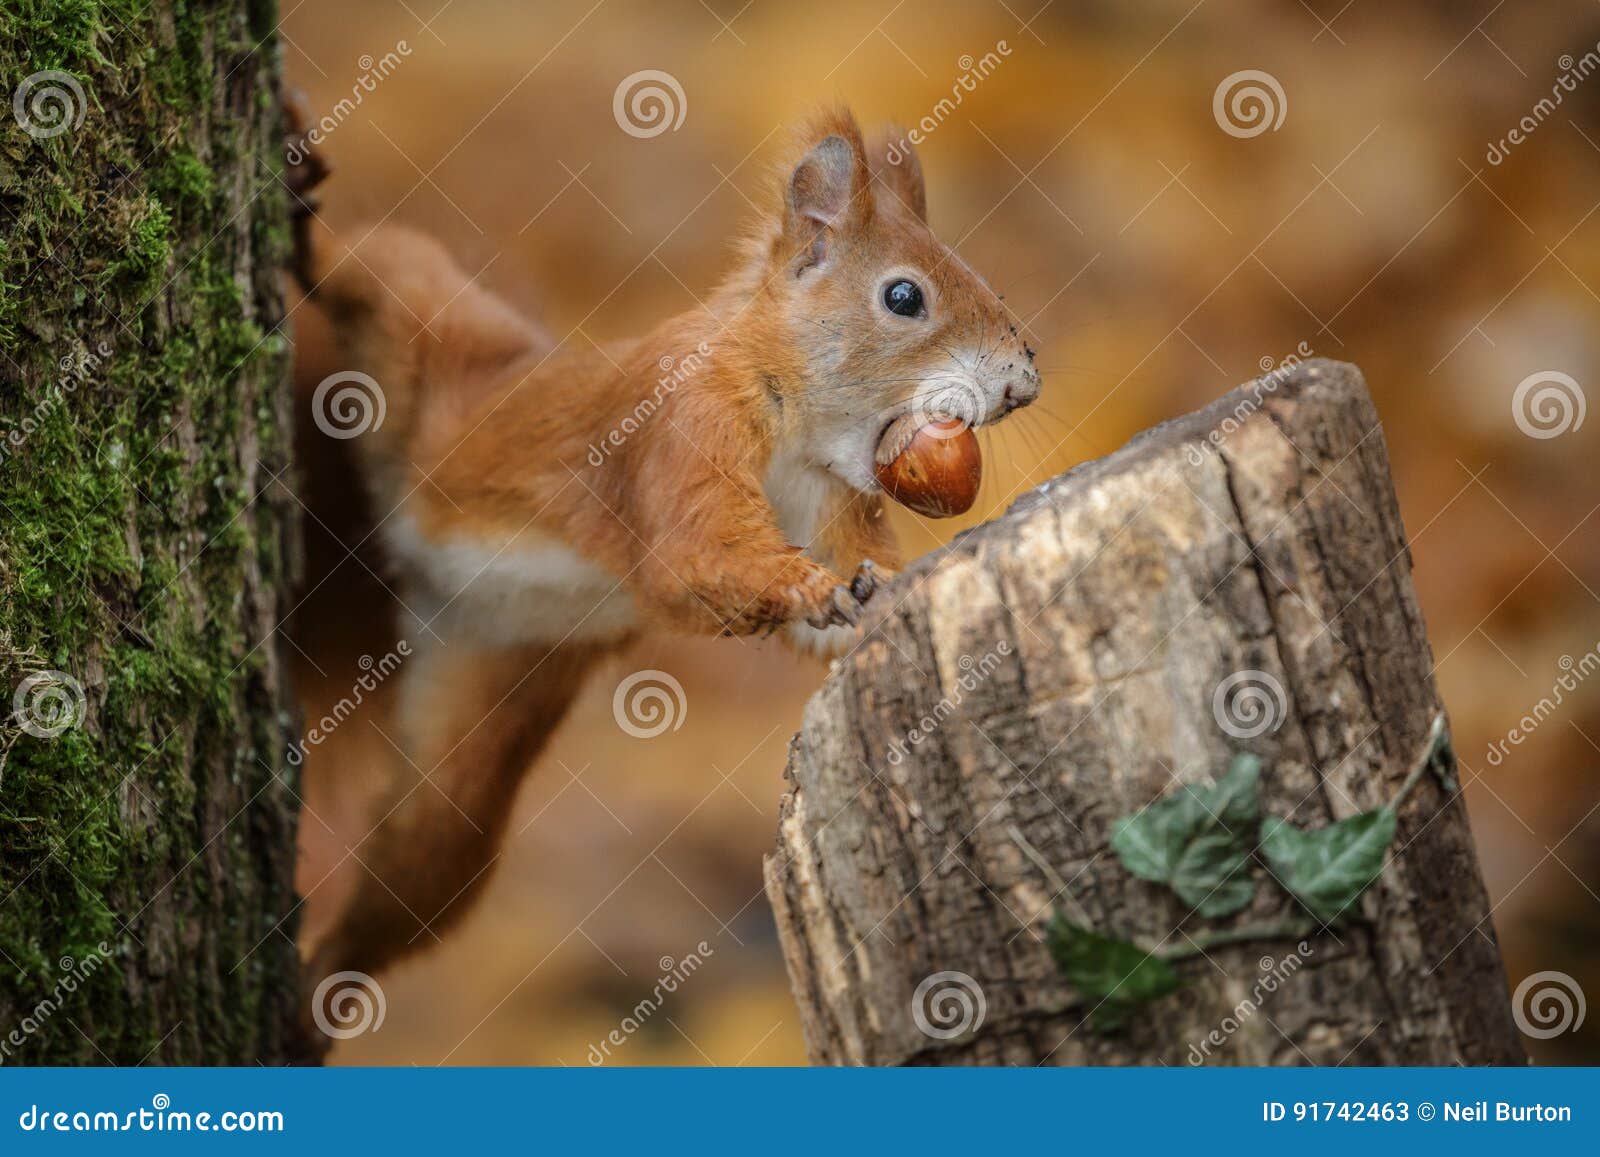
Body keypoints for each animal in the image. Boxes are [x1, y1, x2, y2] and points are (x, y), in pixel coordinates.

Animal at [284, 102, 1042, 988]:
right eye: (903, 296)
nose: (1023, 382)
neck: (797, 427)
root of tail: (410, 566)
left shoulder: (828, 502)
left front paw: (878, 587)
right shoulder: (682, 429)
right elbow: (693, 557)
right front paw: (813, 586)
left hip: (477, 729)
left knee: (417, 867)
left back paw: (318, 985)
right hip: (434, 327)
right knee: (369, 263)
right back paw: (302, 211)